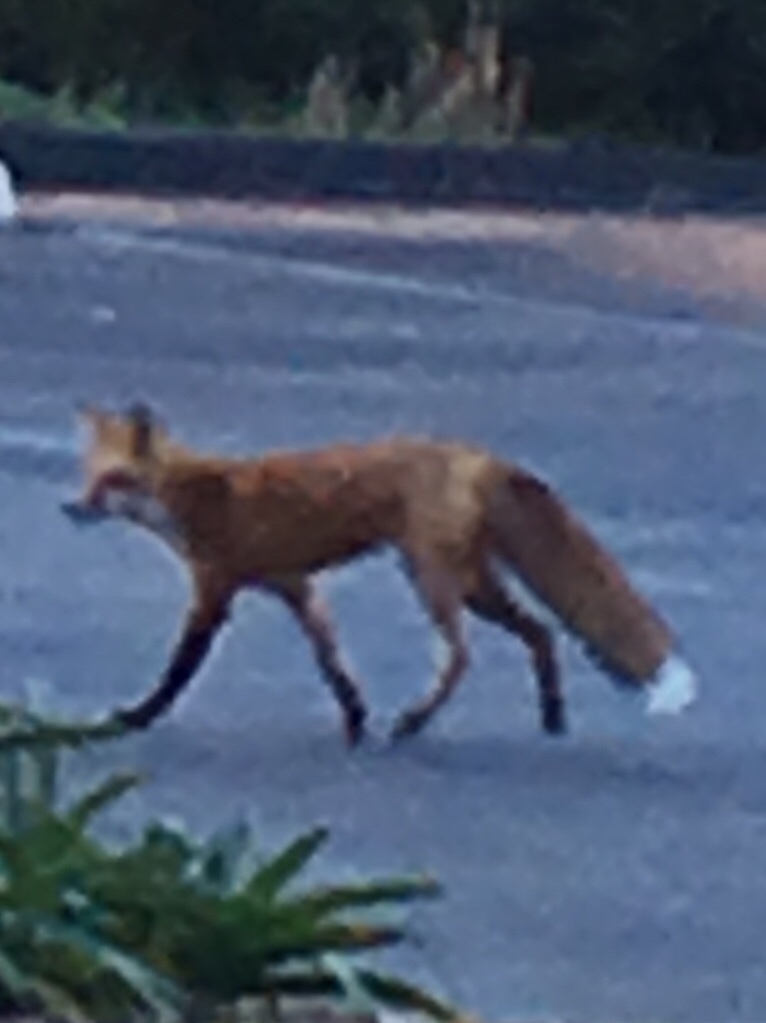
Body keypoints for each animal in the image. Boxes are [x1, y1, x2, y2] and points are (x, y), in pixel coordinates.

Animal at [61, 402, 698, 744]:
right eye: (87, 475)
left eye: (112, 480)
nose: (70, 507)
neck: (194, 496)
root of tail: (481, 457)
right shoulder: (297, 587)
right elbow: (330, 660)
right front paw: (354, 716)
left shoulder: (214, 590)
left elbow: (178, 672)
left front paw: (137, 717)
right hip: (472, 584)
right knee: (540, 633)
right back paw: (553, 715)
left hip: (434, 579)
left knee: (463, 656)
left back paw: (416, 720)